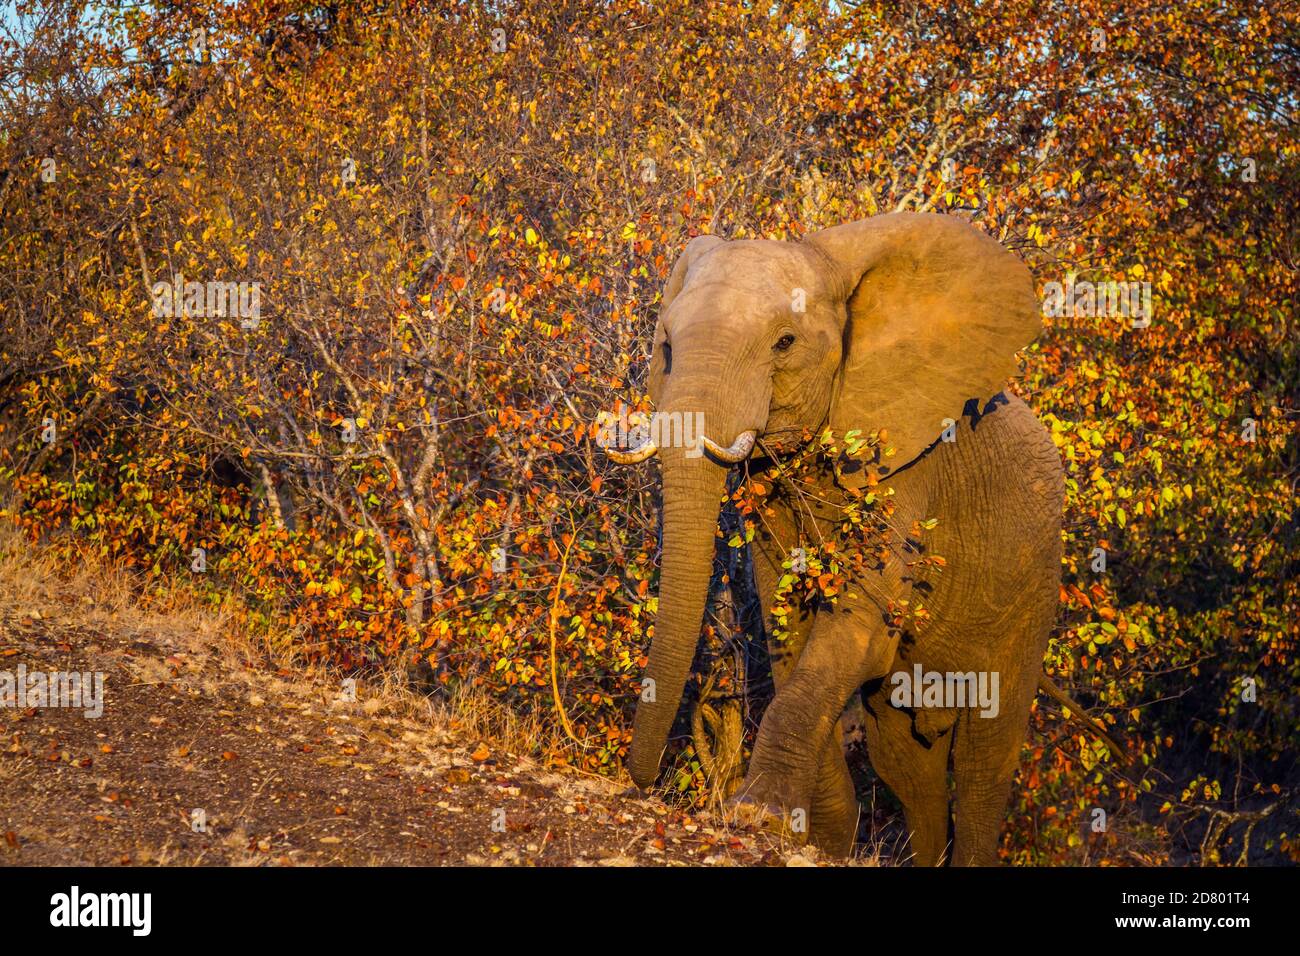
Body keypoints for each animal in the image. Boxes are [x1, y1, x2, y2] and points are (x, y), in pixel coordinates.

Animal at [609, 212, 1082, 866]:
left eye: (784, 343)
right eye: (668, 349)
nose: (642, 779)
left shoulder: (909, 470)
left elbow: (856, 629)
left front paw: (761, 815)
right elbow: (787, 623)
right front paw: (814, 833)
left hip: (1031, 592)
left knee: (986, 761)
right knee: (907, 763)